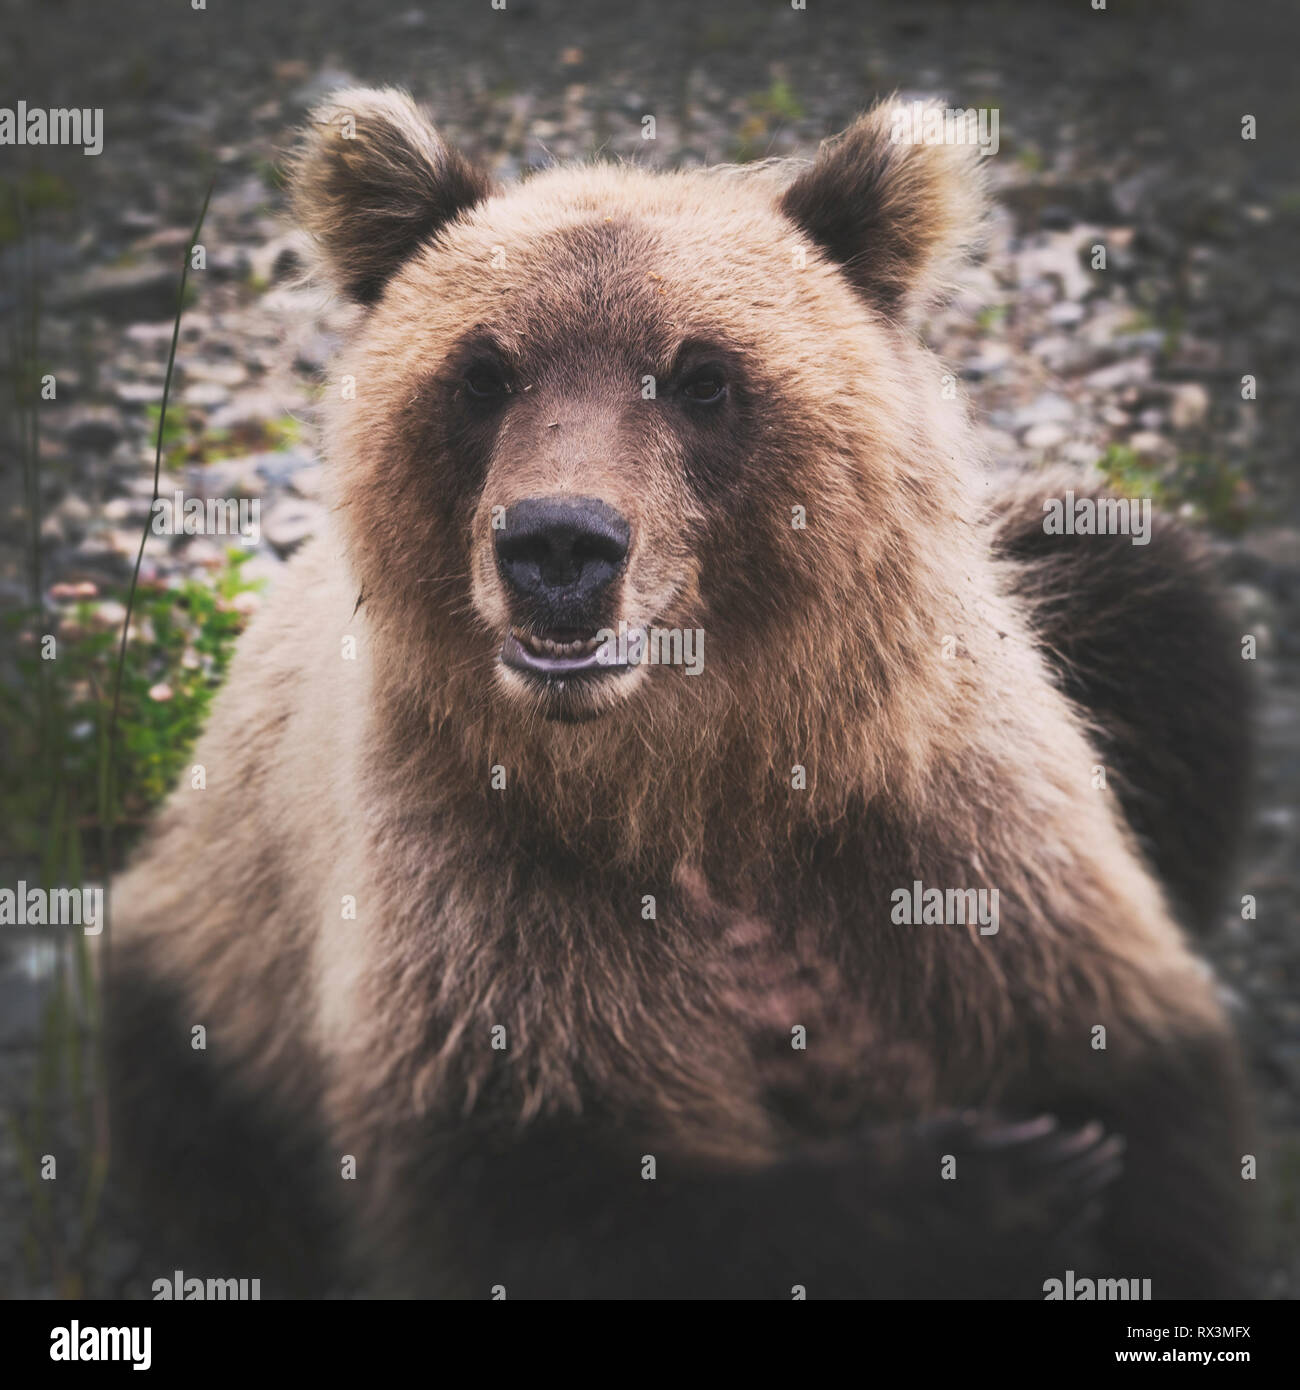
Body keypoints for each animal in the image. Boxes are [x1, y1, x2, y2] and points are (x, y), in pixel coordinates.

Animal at [107, 89, 1253, 1299]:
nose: (558, 545)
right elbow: (541, 1194)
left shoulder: (939, 824)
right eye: (482, 373)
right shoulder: (484, 876)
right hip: (203, 964)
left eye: (703, 376)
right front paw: (993, 1182)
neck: (696, 773)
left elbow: (1143, 1105)